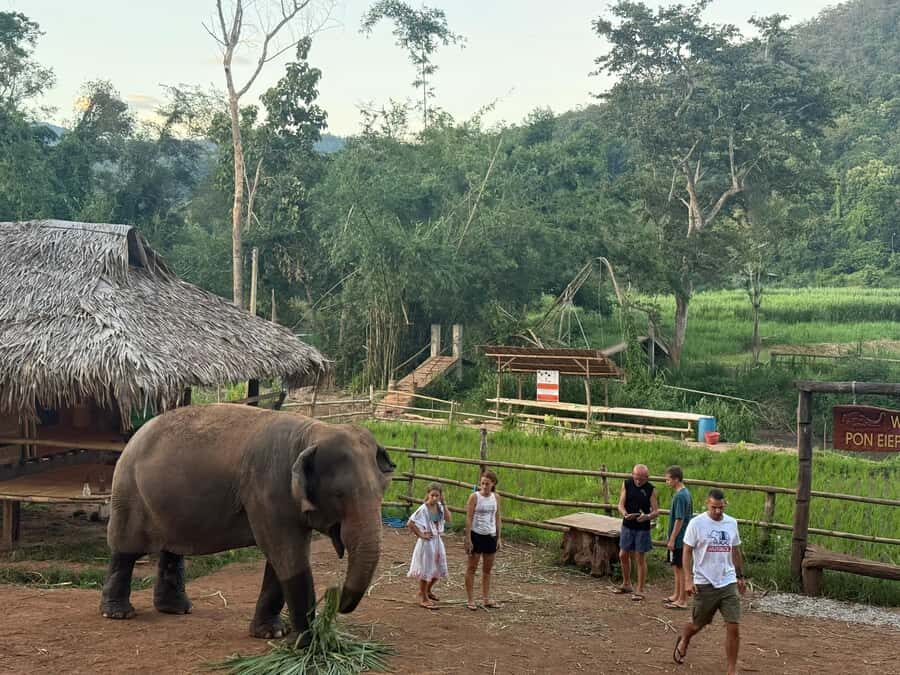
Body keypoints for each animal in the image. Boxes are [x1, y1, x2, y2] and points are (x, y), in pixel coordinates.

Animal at [100, 403, 395, 640]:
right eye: (339, 495)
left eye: (383, 489)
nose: (337, 601)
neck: (313, 431)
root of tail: (133, 437)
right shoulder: (268, 489)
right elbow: (287, 554)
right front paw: (305, 643)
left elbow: (282, 558)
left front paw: (274, 634)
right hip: (128, 491)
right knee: (125, 550)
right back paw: (118, 614)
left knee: (171, 550)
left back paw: (177, 610)